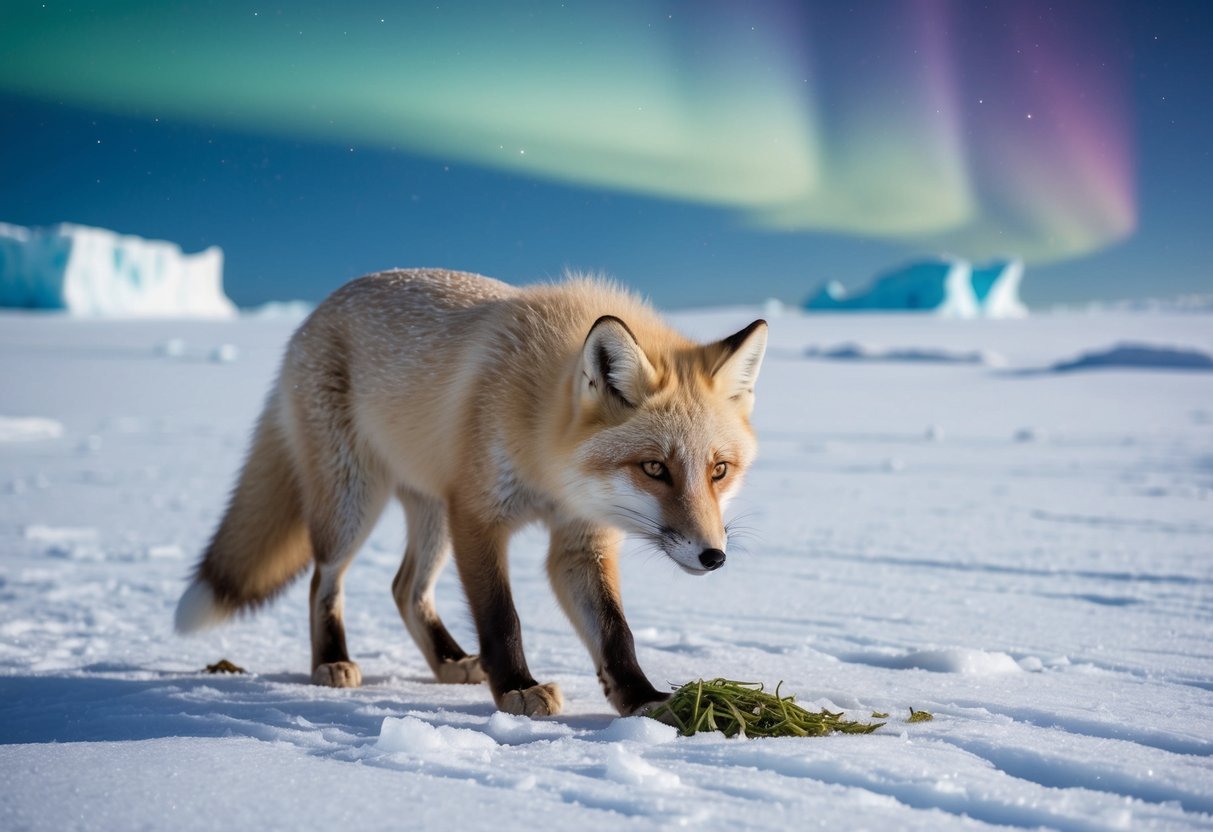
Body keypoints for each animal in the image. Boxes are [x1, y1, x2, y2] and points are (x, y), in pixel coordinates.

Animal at [175, 269, 767, 717]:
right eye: (654, 468)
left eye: (719, 470)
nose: (713, 556)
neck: (546, 464)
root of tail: (316, 313)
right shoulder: (479, 516)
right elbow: (502, 618)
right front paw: (518, 690)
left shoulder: (580, 540)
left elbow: (616, 633)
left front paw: (645, 701)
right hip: (355, 503)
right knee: (325, 580)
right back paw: (330, 661)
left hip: (432, 511)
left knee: (405, 588)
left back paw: (448, 661)